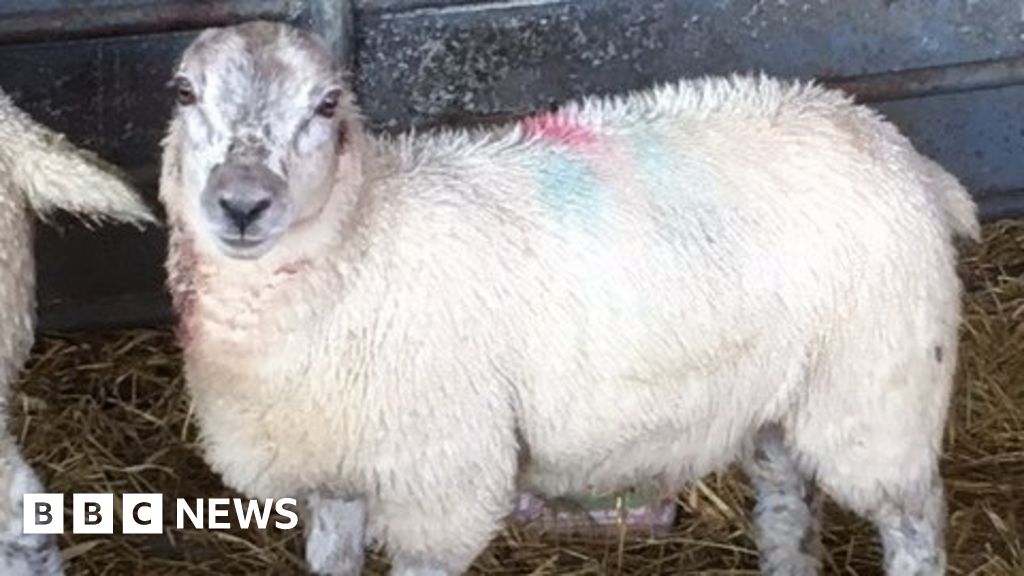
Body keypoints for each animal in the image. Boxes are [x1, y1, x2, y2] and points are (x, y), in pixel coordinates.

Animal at [160, 21, 979, 576]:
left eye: (328, 105)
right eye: (185, 92)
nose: (242, 204)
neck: (365, 245)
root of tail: (896, 146)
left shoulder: (440, 490)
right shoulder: (332, 474)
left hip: (880, 391)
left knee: (913, 517)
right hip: (779, 398)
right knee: (786, 507)